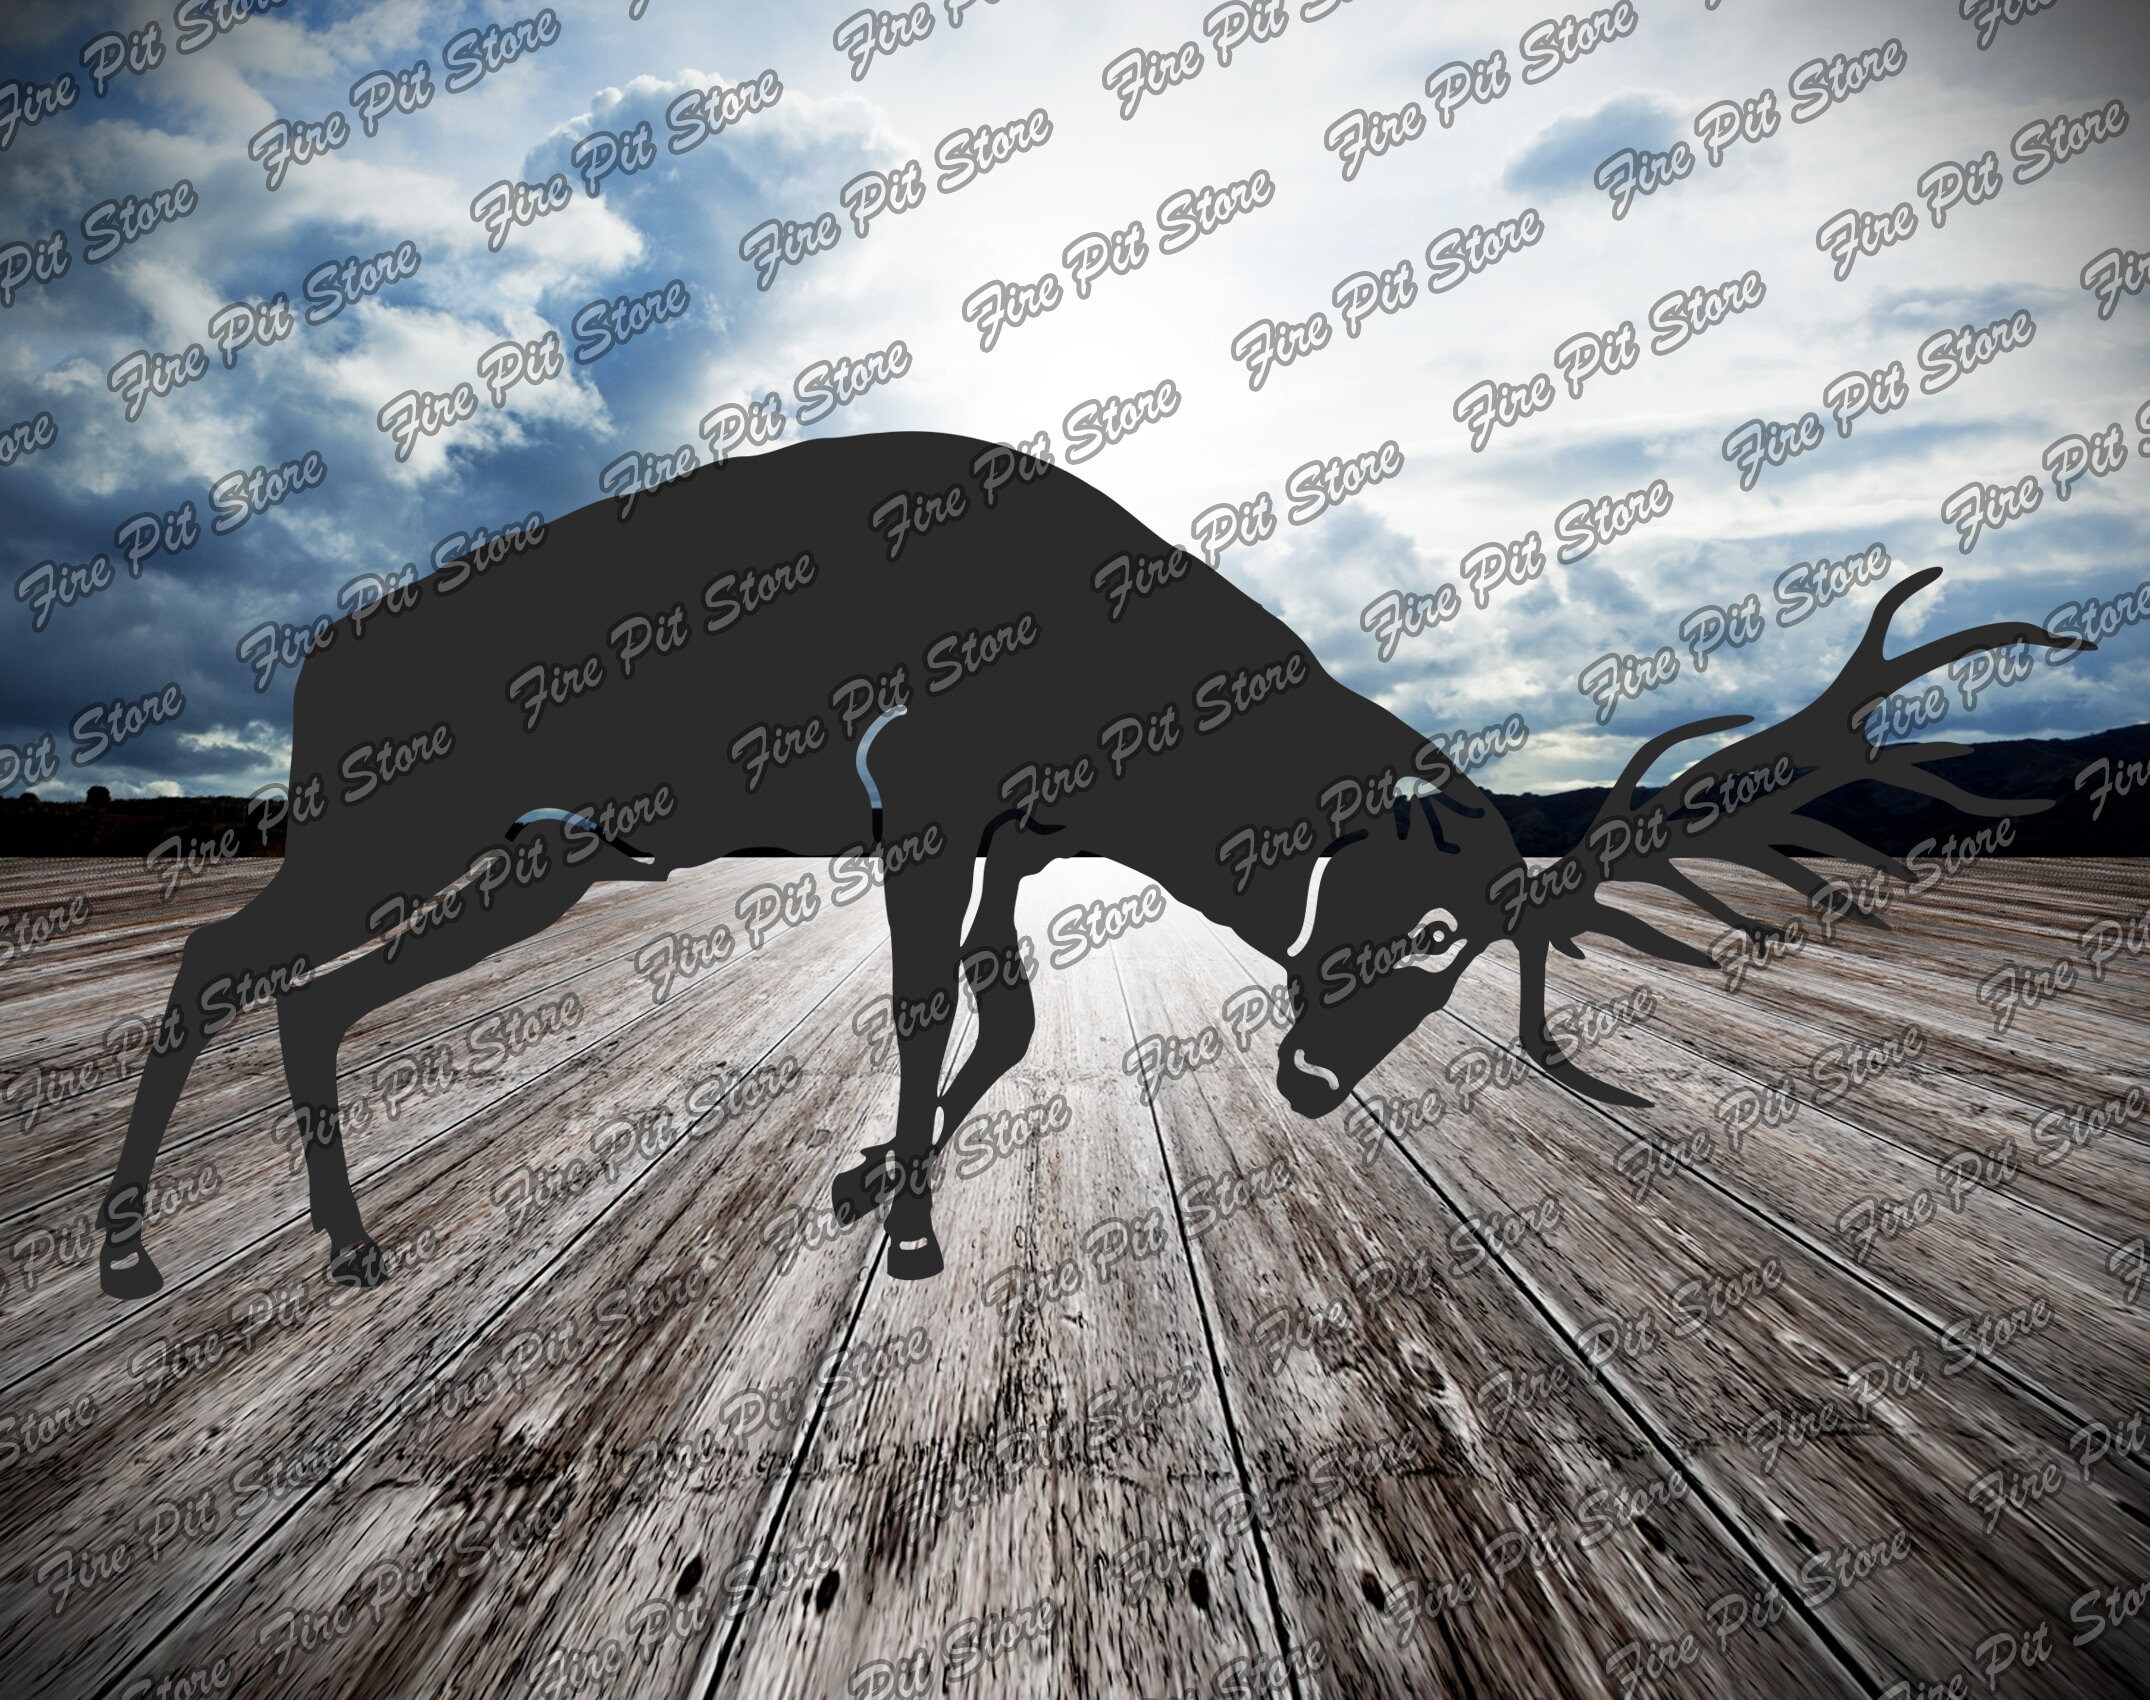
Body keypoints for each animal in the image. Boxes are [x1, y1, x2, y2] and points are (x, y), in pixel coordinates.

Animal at [95, 428, 2088, 1299]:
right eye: (1436, 922)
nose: (1312, 1082)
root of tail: (315, 661)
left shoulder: (1014, 836)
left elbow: (1010, 1020)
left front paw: (860, 1184)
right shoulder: (920, 797)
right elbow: (924, 1012)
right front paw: (905, 1224)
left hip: (545, 857)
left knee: (308, 994)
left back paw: (349, 1245)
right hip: (398, 818)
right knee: (213, 959)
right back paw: (126, 1253)